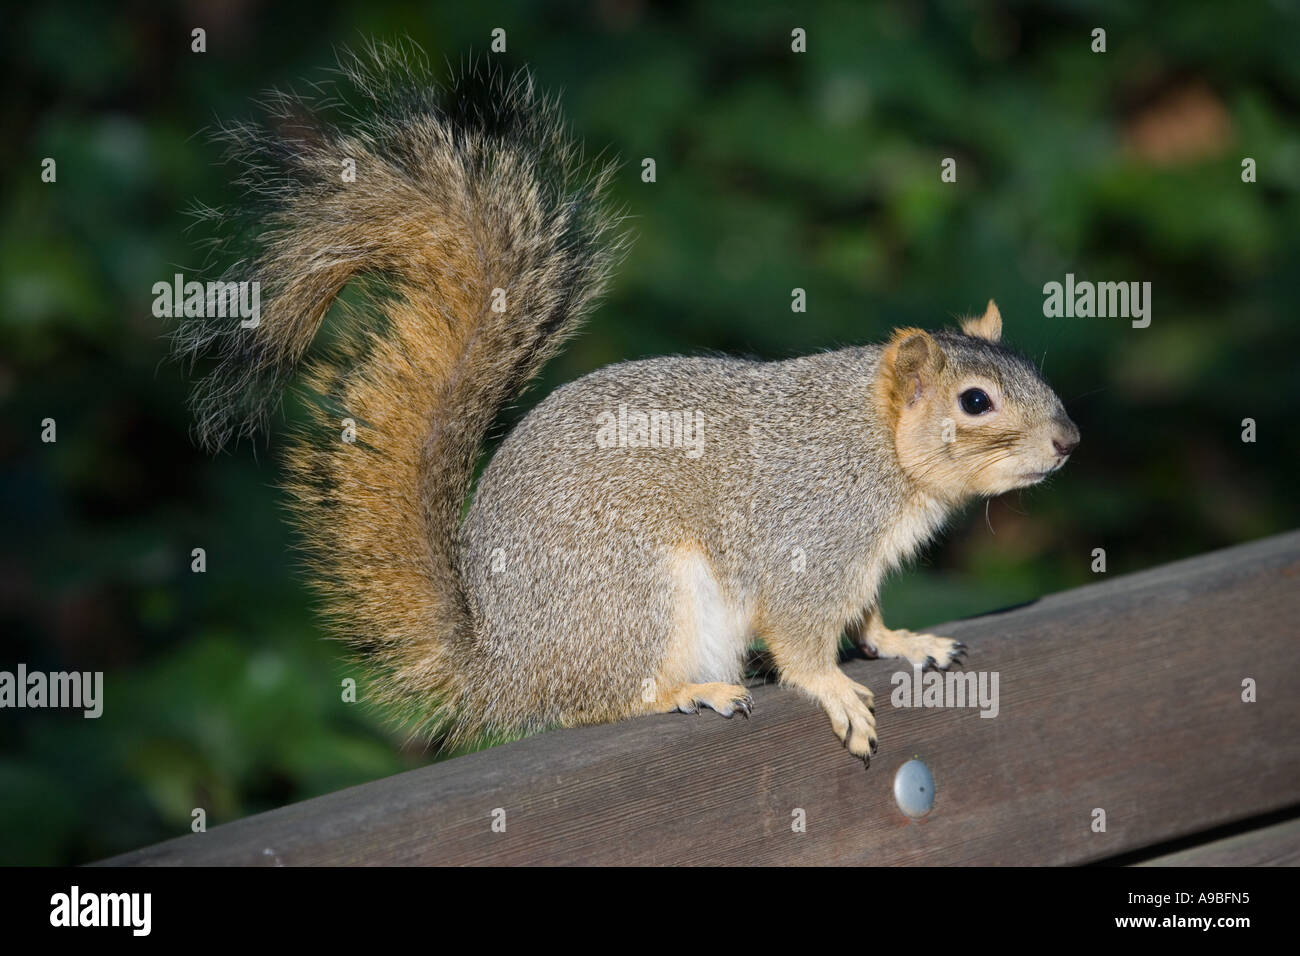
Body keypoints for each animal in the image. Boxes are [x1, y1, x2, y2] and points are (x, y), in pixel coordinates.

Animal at [175, 45, 1079, 767]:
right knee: (598, 704)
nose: (1069, 441)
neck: (881, 450)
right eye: (975, 401)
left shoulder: (855, 562)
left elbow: (866, 617)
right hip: (636, 593)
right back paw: (687, 694)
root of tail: (506, 670)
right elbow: (801, 638)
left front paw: (904, 641)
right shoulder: (814, 534)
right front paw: (834, 691)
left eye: (1034, 374)